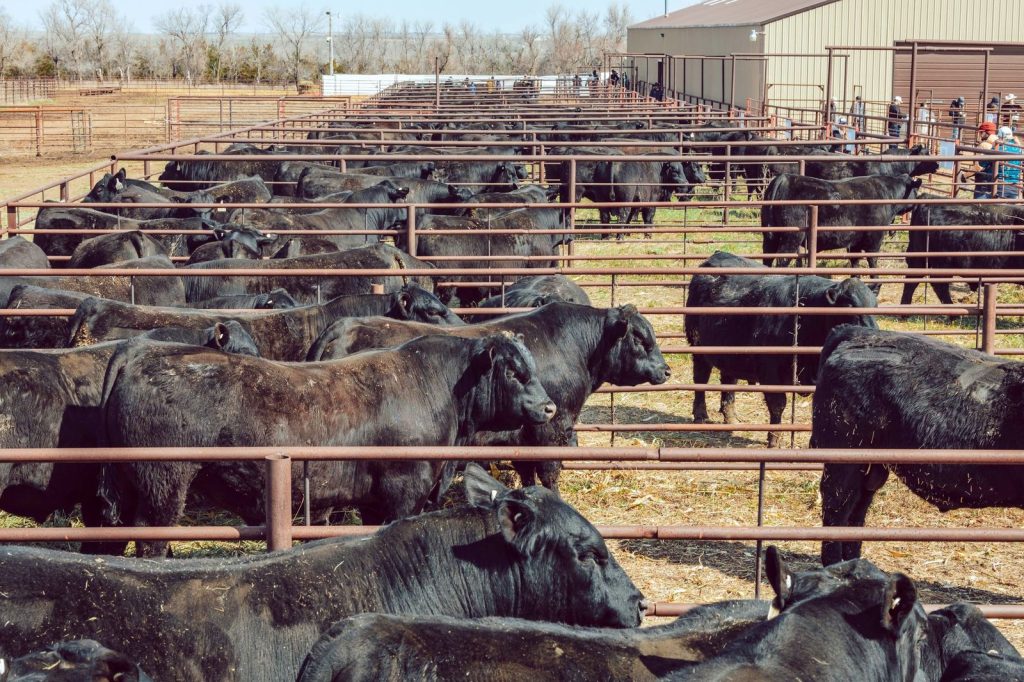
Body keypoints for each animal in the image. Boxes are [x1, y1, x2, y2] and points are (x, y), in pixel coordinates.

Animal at [306, 302, 670, 490]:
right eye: (641, 338)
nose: (666, 370)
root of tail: (344, 325)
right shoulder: (552, 427)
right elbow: (549, 471)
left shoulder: (523, 435)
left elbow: (527, 471)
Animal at [686, 252, 878, 447]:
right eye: (849, 306)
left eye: (875, 305)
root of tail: (718, 254)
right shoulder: (770, 371)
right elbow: (778, 404)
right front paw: (774, 439)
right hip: (698, 345)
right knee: (700, 378)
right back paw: (700, 415)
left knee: (728, 381)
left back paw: (731, 418)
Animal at [761, 173, 931, 268]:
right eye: (915, 191)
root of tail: (783, 178)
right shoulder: (874, 238)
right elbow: (873, 260)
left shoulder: (854, 242)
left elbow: (854, 264)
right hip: (791, 237)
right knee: (782, 260)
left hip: (770, 236)